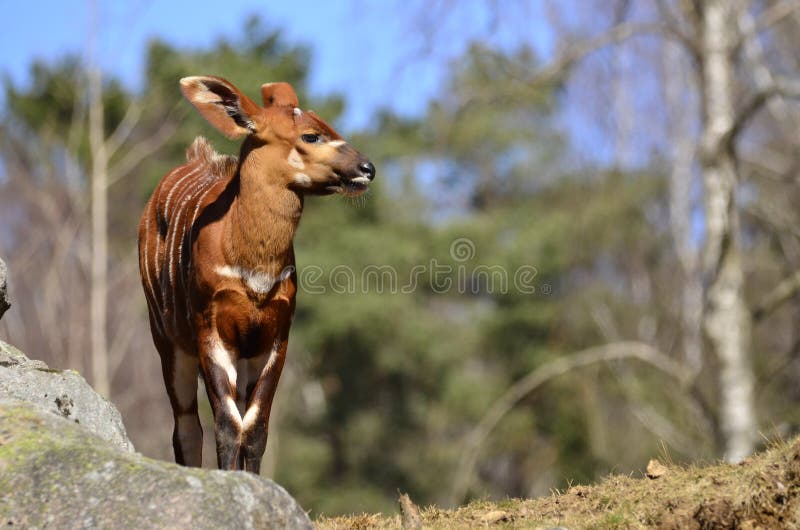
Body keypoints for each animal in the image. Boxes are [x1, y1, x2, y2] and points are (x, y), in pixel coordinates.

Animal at [138, 75, 375, 472]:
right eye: (311, 135)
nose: (367, 168)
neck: (255, 268)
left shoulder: (274, 336)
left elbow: (256, 428)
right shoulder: (211, 330)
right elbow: (227, 424)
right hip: (169, 342)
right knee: (186, 426)